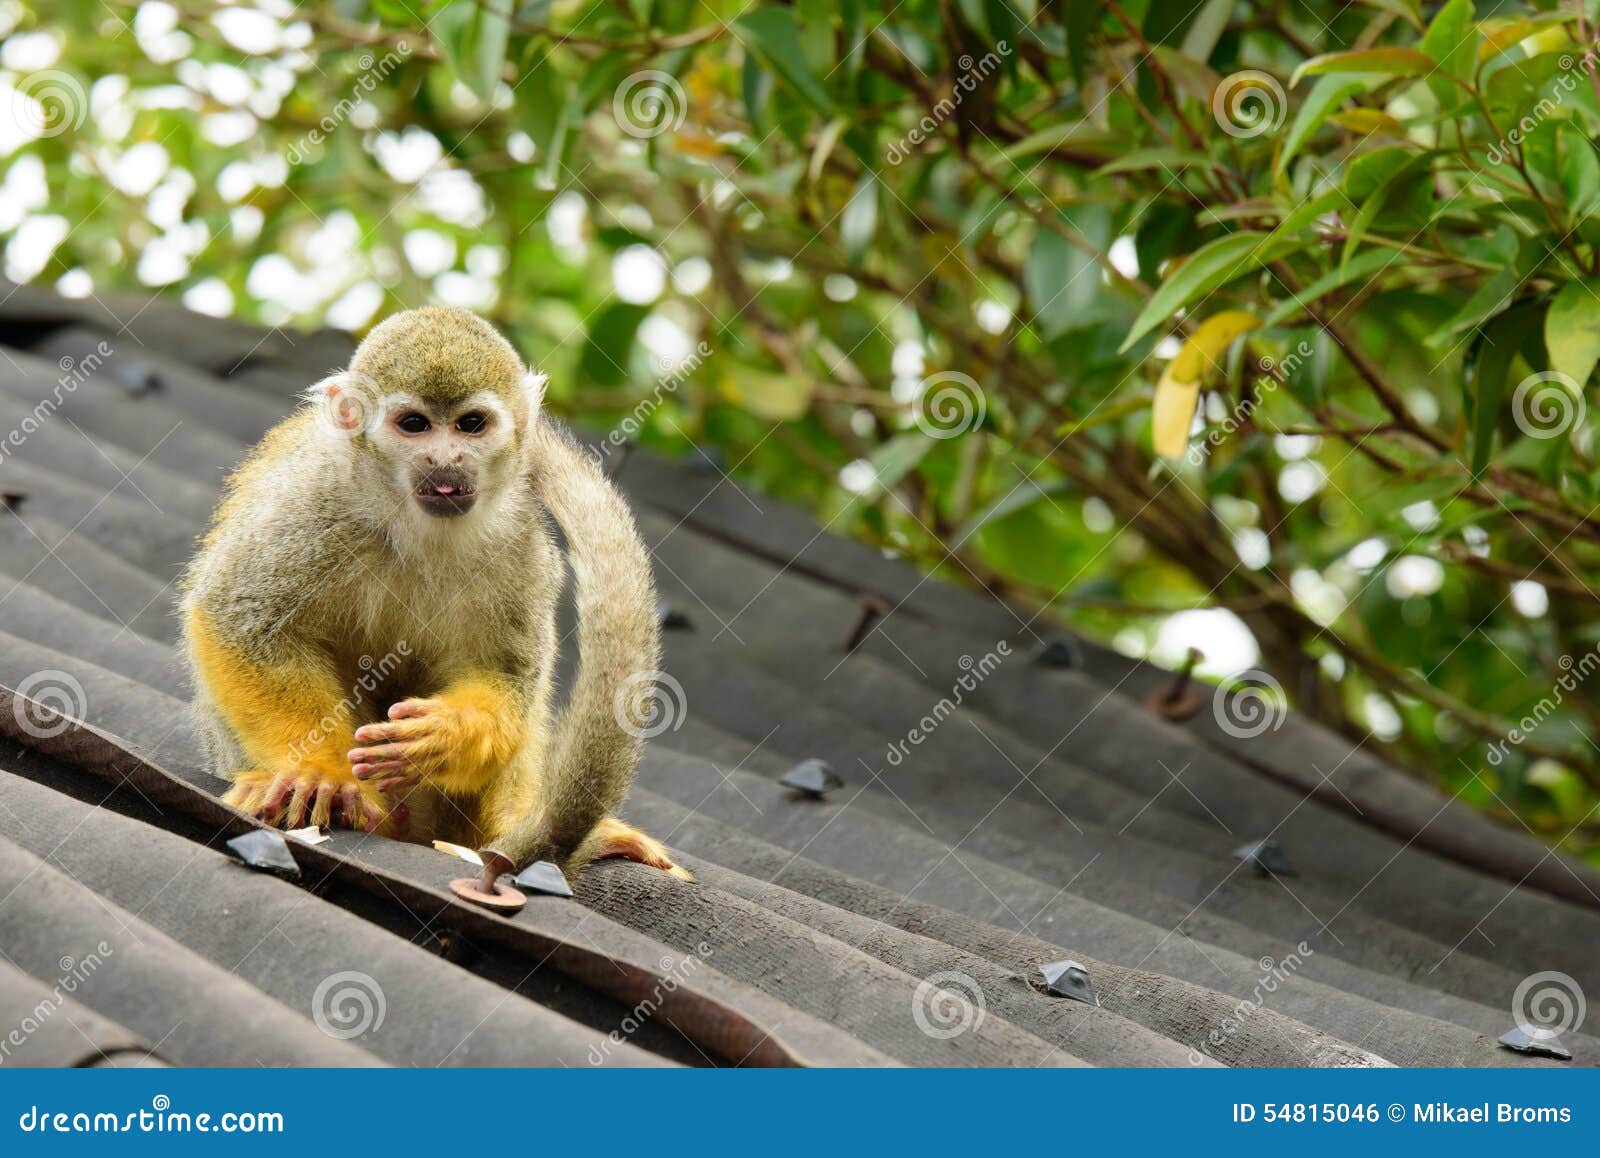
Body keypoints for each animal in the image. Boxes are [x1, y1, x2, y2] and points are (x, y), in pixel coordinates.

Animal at [179, 306, 689, 882]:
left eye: (470, 424)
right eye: (414, 425)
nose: (446, 458)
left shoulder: (520, 542)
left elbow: (504, 677)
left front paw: (448, 735)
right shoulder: (313, 502)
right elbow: (238, 621)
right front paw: (322, 771)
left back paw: (512, 824)